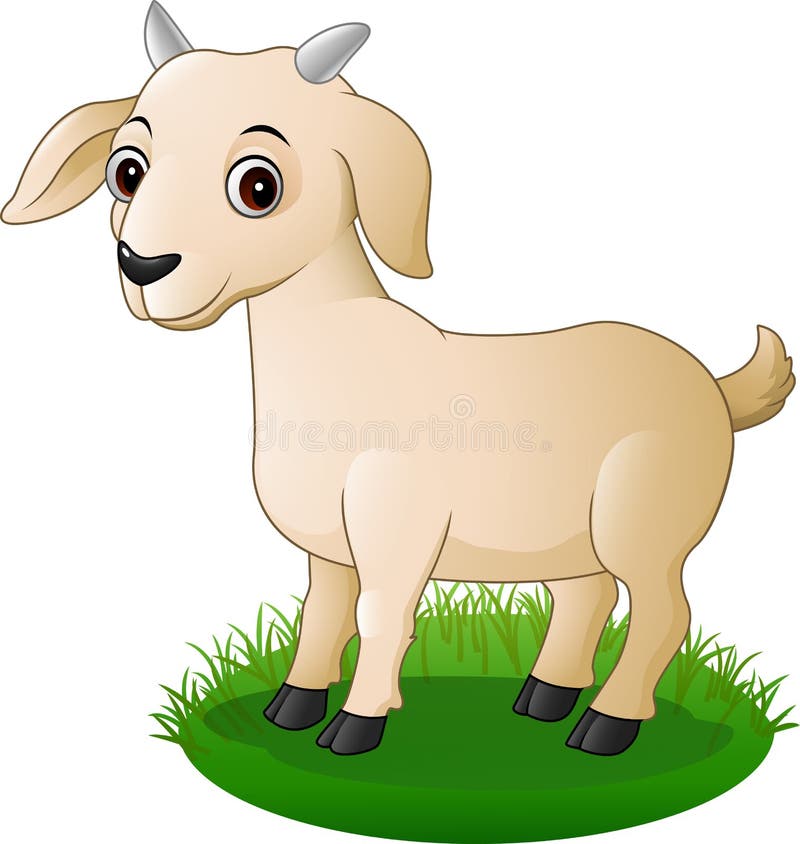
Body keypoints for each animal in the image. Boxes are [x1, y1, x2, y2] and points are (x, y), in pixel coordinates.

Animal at [3, 3, 794, 756]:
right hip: (575, 532)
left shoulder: (397, 525)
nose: (142, 267)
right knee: (587, 598)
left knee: (663, 612)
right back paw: (545, 698)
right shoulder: (328, 544)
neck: (337, 355)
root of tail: (715, 387)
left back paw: (605, 726)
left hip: (649, 522)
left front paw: (355, 727)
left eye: (258, 185)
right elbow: (321, 616)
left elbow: (381, 617)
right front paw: (291, 709)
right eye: (126, 170)